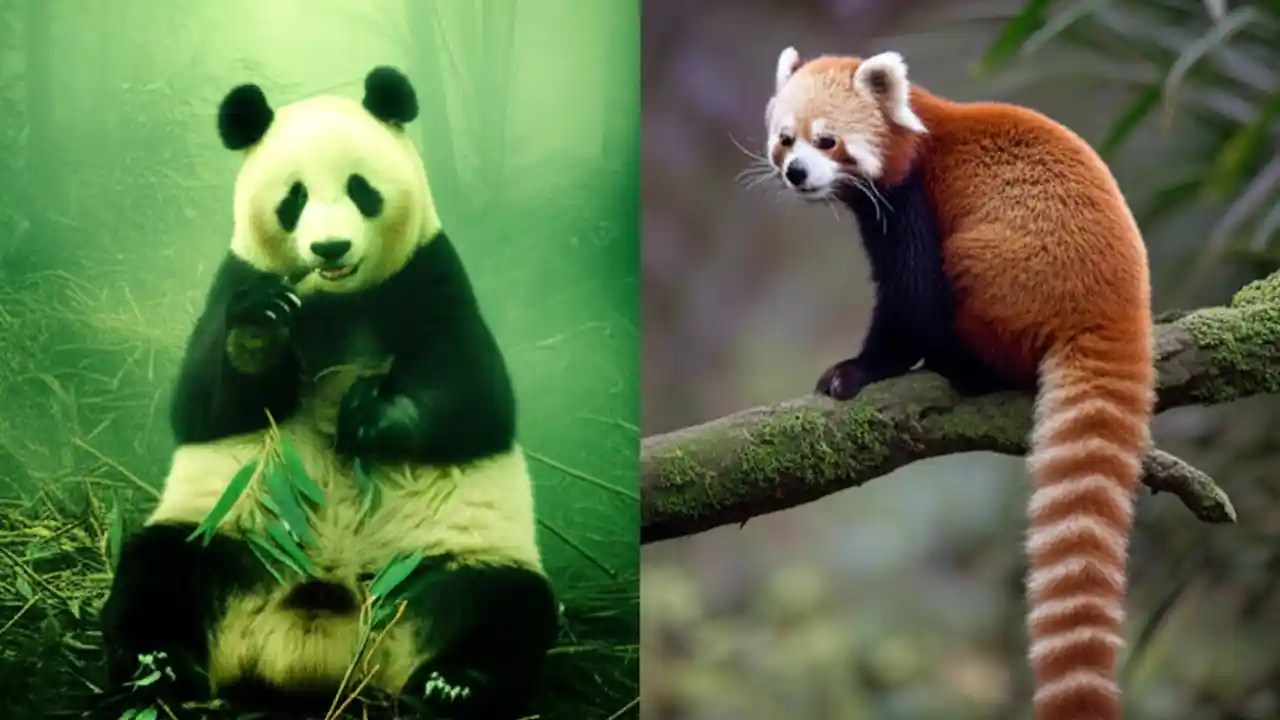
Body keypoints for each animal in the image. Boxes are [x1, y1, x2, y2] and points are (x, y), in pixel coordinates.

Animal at [99, 66, 559, 719]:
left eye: (360, 189)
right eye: (293, 199)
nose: (330, 249)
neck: (341, 299)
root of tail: (322, 649)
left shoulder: (429, 275)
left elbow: (475, 395)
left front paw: (369, 416)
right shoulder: (238, 278)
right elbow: (200, 404)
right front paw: (260, 332)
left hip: (446, 561)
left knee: (500, 607)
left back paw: (455, 684)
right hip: (230, 537)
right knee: (160, 571)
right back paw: (158, 666)